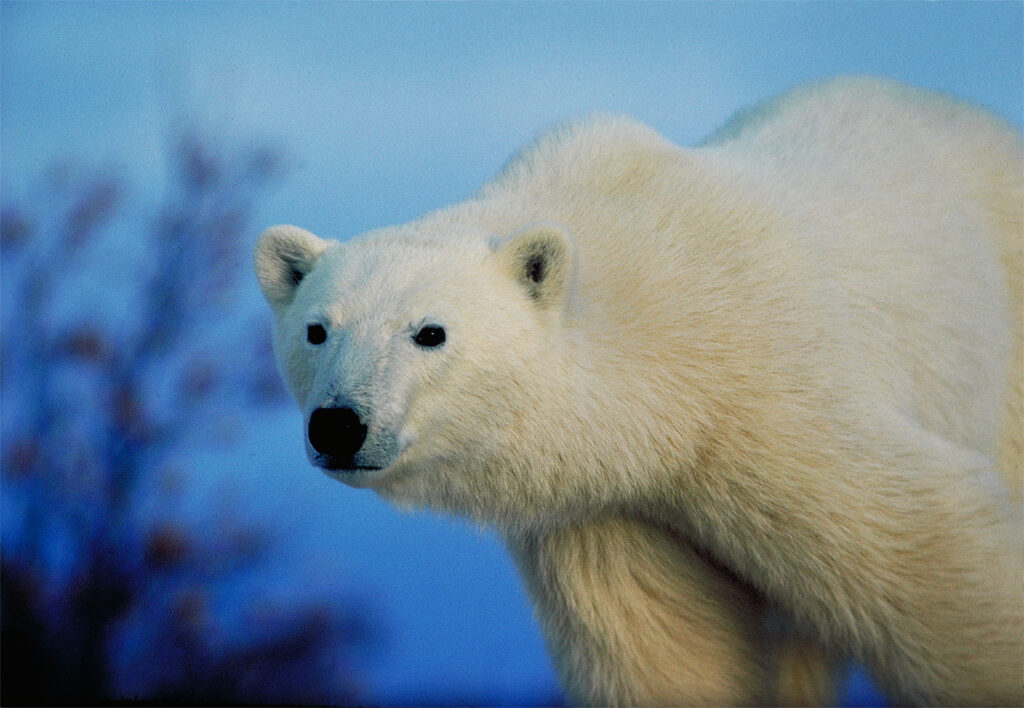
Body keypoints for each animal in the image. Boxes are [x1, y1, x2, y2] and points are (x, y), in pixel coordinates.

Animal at [255, 76, 1023, 706]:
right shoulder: (609, 512)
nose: (339, 424)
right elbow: (666, 649)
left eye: (430, 332)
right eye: (318, 331)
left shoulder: (771, 395)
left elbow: (928, 553)